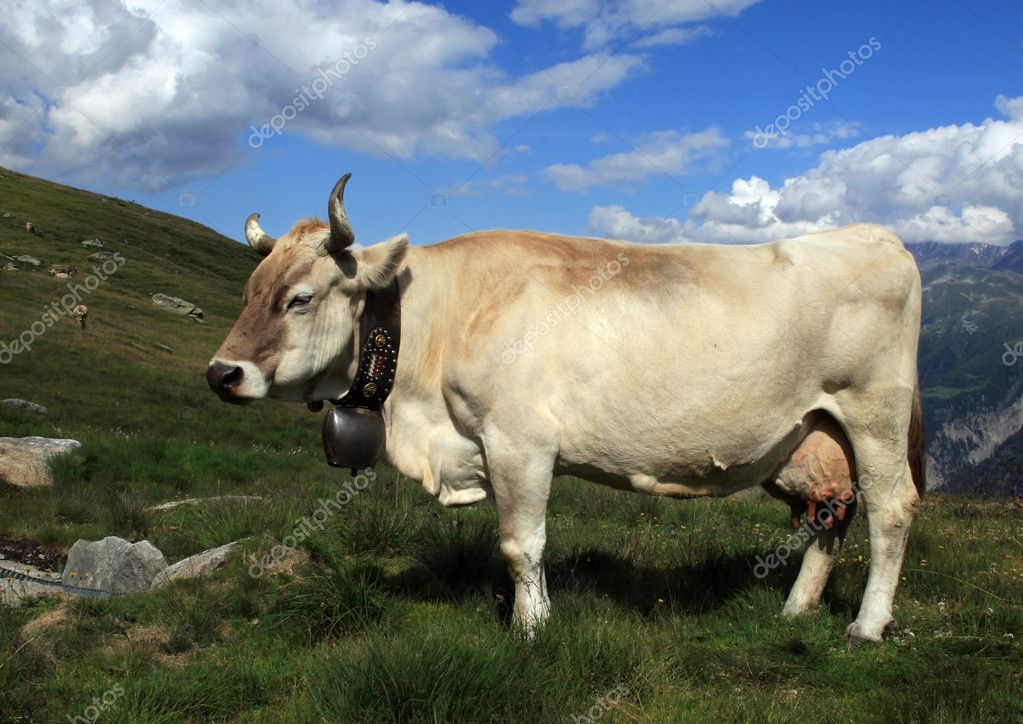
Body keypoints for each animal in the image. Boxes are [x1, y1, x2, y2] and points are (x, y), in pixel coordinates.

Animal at [207, 174, 924, 646]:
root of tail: (877, 235)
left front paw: (530, 629)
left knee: (890, 510)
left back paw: (866, 626)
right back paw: (796, 611)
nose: (221, 373)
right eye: (247, 292)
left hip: (873, 413)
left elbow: (520, 544)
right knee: (830, 510)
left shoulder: (518, 440)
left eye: (299, 298)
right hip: (810, 434)